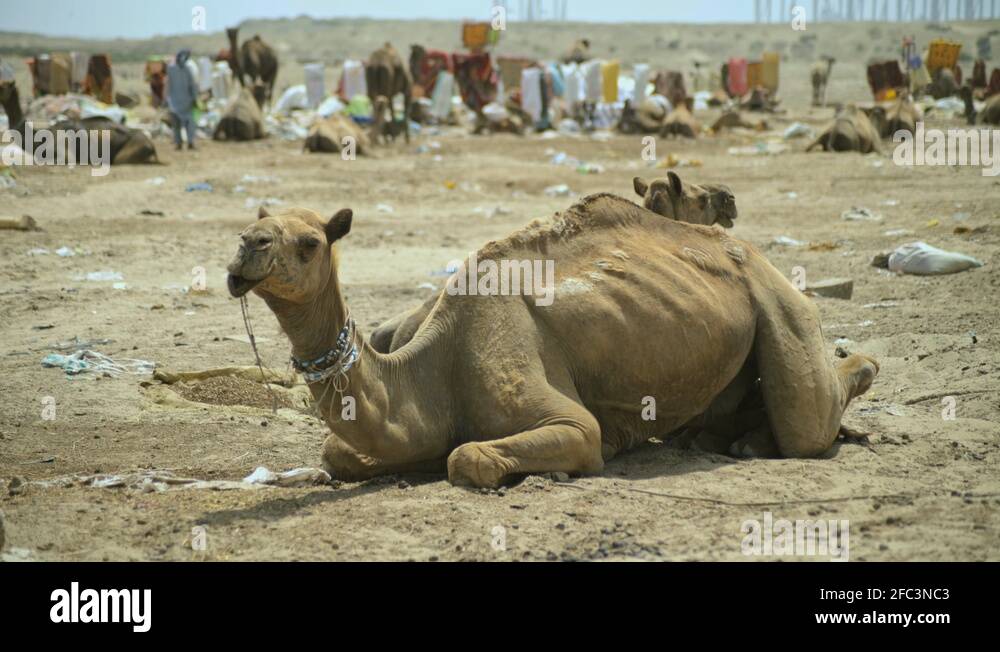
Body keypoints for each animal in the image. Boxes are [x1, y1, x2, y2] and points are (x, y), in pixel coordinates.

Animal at [226, 199, 878, 487]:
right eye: (250, 230)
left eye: (309, 242)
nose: (245, 251)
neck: (429, 368)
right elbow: (335, 452)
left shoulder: (558, 412)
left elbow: (469, 457)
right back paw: (728, 439)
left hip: (779, 302)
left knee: (808, 424)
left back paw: (855, 370)